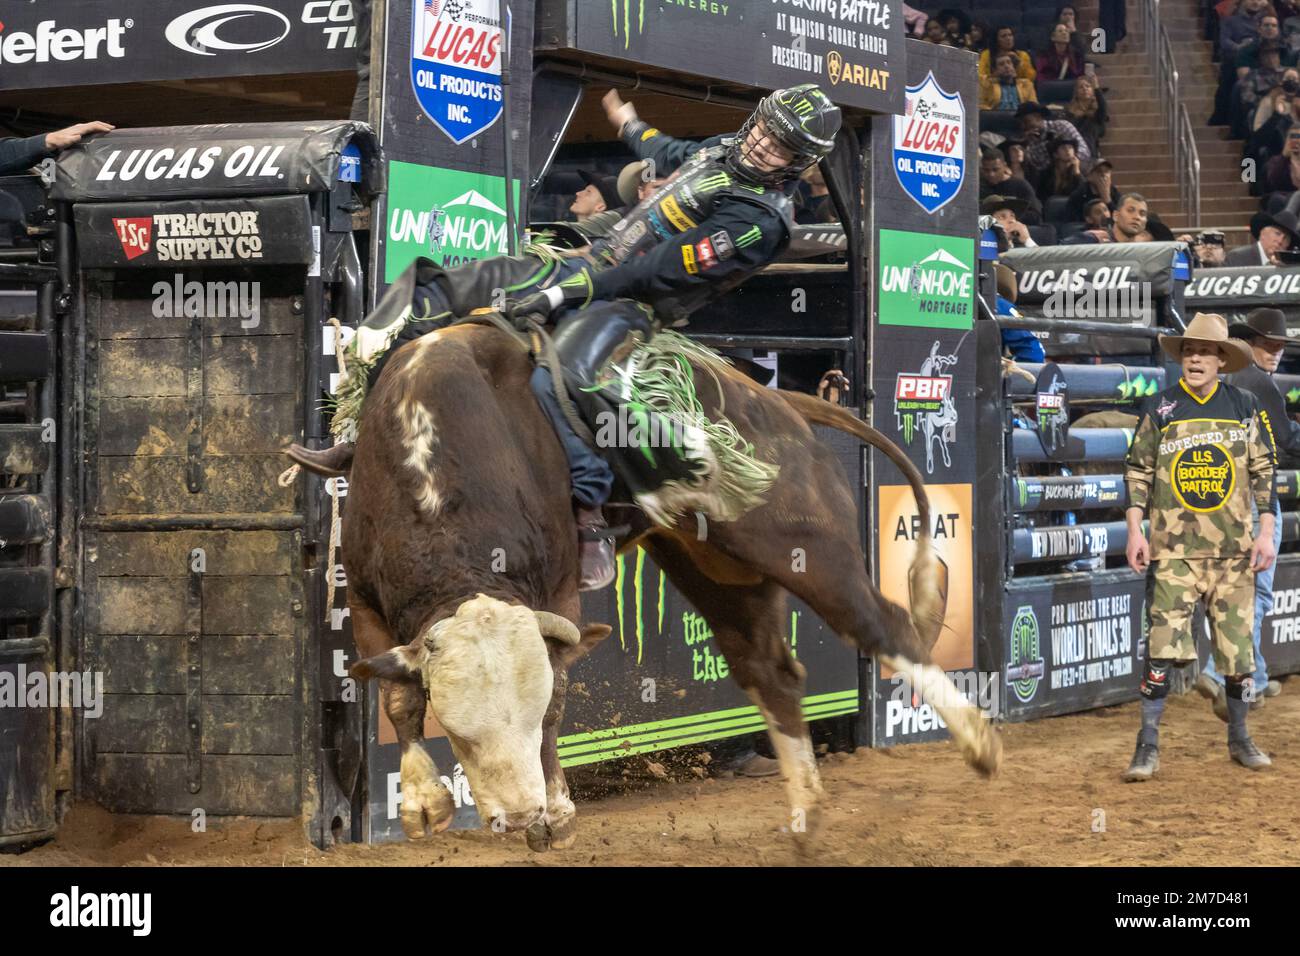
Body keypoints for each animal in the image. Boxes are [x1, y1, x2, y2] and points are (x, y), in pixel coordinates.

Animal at [343, 322, 1001, 851]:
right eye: (458, 733)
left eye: (526, 721)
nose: (521, 814)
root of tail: (777, 399)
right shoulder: (363, 596)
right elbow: (398, 698)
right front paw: (421, 801)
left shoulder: (558, 592)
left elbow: (557, 698)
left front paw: (557, 813)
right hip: (717, 569)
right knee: (770, 671)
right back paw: (805, 813)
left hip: (805, 541)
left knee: (881, 626)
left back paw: (978, 742)